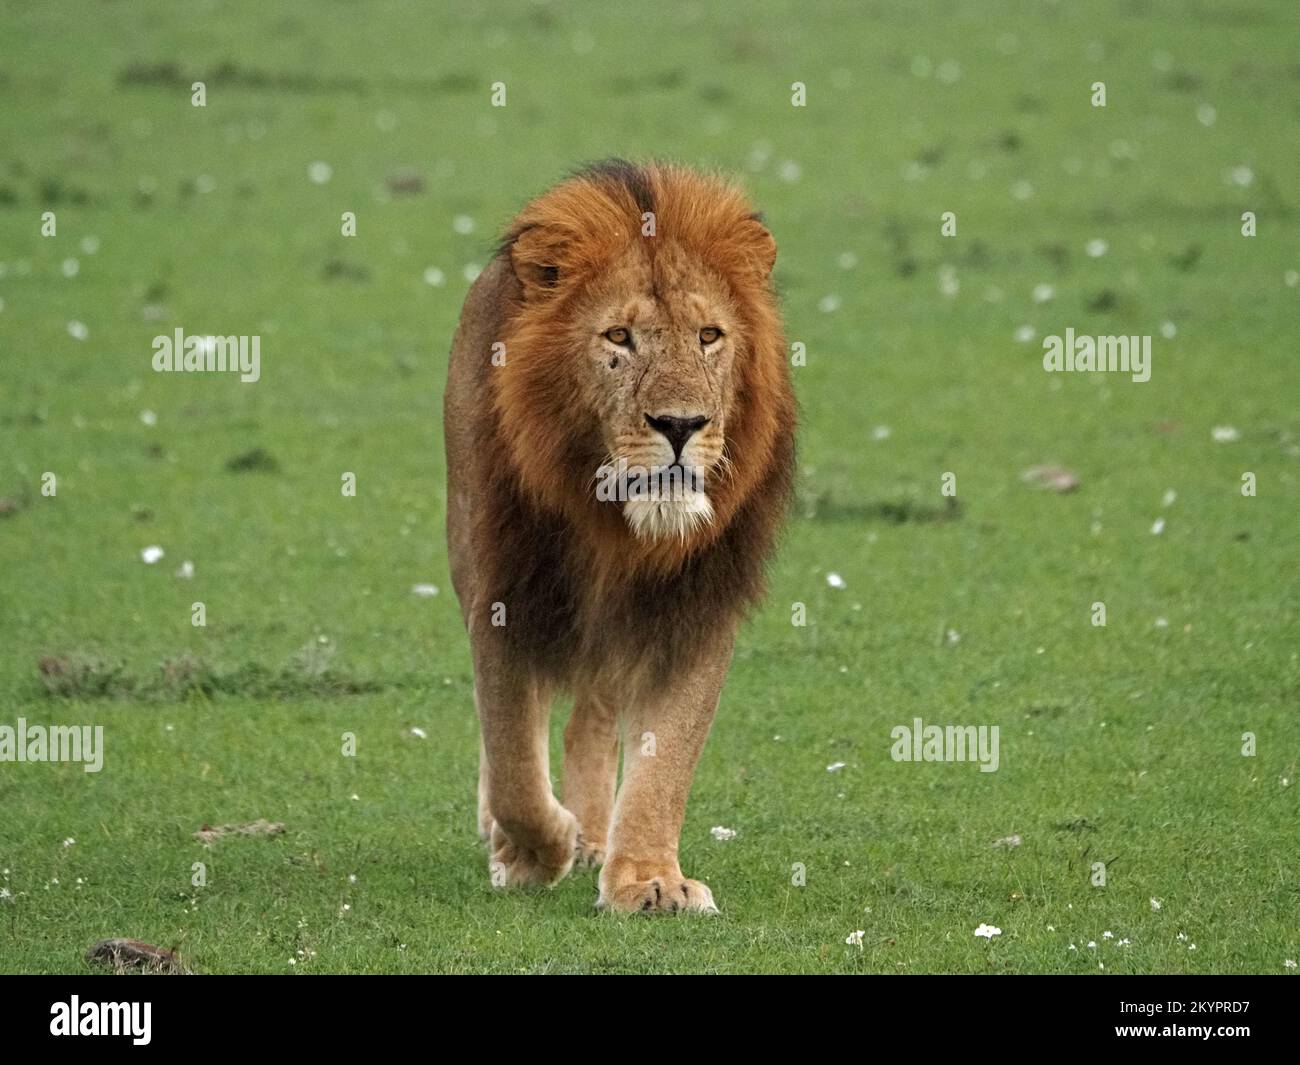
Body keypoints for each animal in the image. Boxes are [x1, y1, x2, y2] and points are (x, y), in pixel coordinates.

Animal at [443, 160, 795, 913]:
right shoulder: (503, 586)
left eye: (709, 336)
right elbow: (513, 753)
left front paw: (647, 878)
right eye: (618, 338)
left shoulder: (697, 605)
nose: (681, 424)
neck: (614, 525)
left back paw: (596, 835)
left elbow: (668, 755)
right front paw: (532, 852)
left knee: (592, 718)